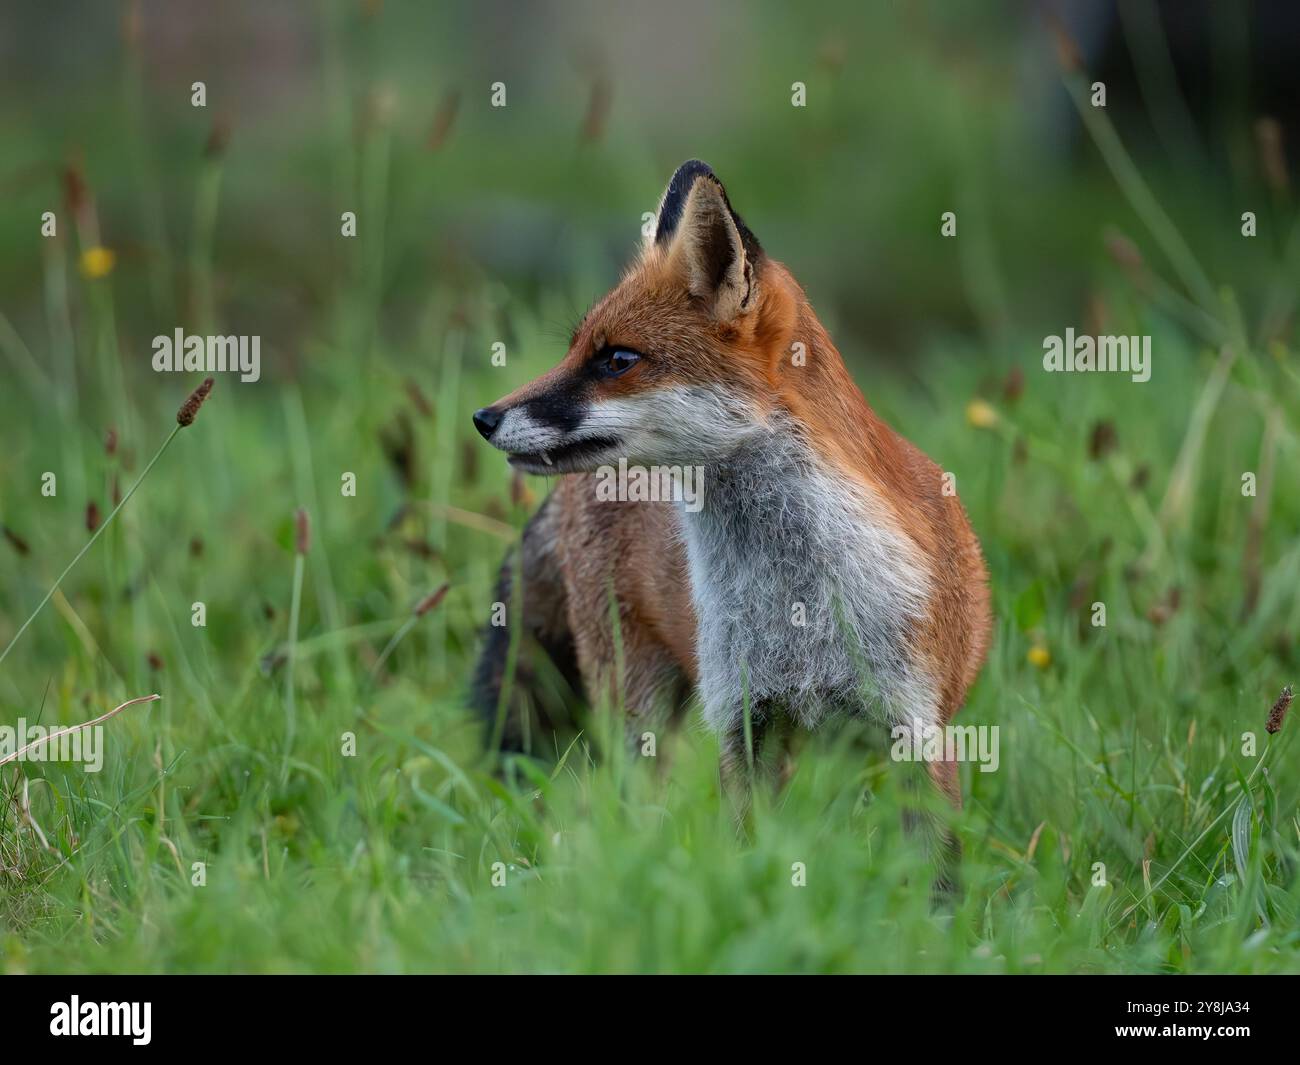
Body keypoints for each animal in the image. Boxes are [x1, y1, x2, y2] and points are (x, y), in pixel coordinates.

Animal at [471, 160, 991, 848]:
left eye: (616, 359)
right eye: (573, 350)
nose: (483, 418)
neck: (799, 603)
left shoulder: (918, 727)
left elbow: (932, 866)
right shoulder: (745, 718)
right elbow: (748, 849)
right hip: (637, 707)